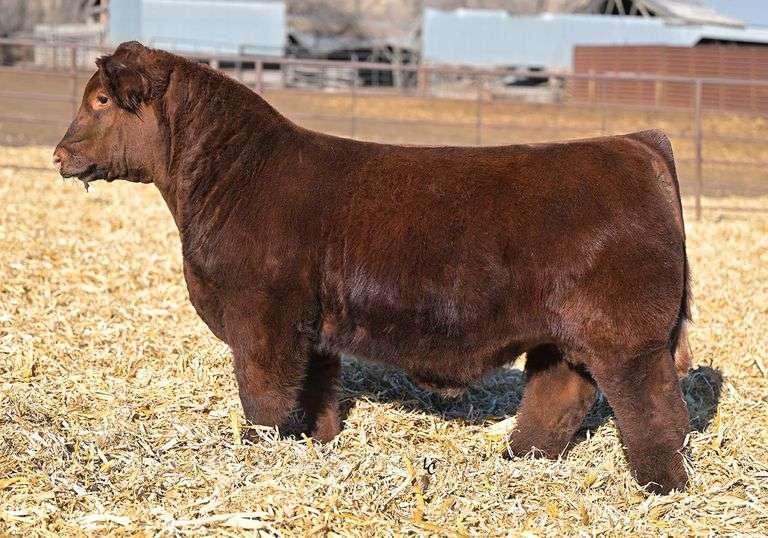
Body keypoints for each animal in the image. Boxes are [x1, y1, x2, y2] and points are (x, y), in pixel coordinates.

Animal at [54, 42, 693, 494]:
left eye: (101, 101)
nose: (59, 155)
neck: (232, 177)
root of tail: (636, 143)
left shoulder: (263, 318)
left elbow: (263, 395)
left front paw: (261, 452)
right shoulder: (310, 329)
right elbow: (313, 392)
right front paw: (315, 445)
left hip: (628, 339)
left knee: (658, 410)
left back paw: (660, 489)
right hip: (566, 338)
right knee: (558, 394)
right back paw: (520, 459)